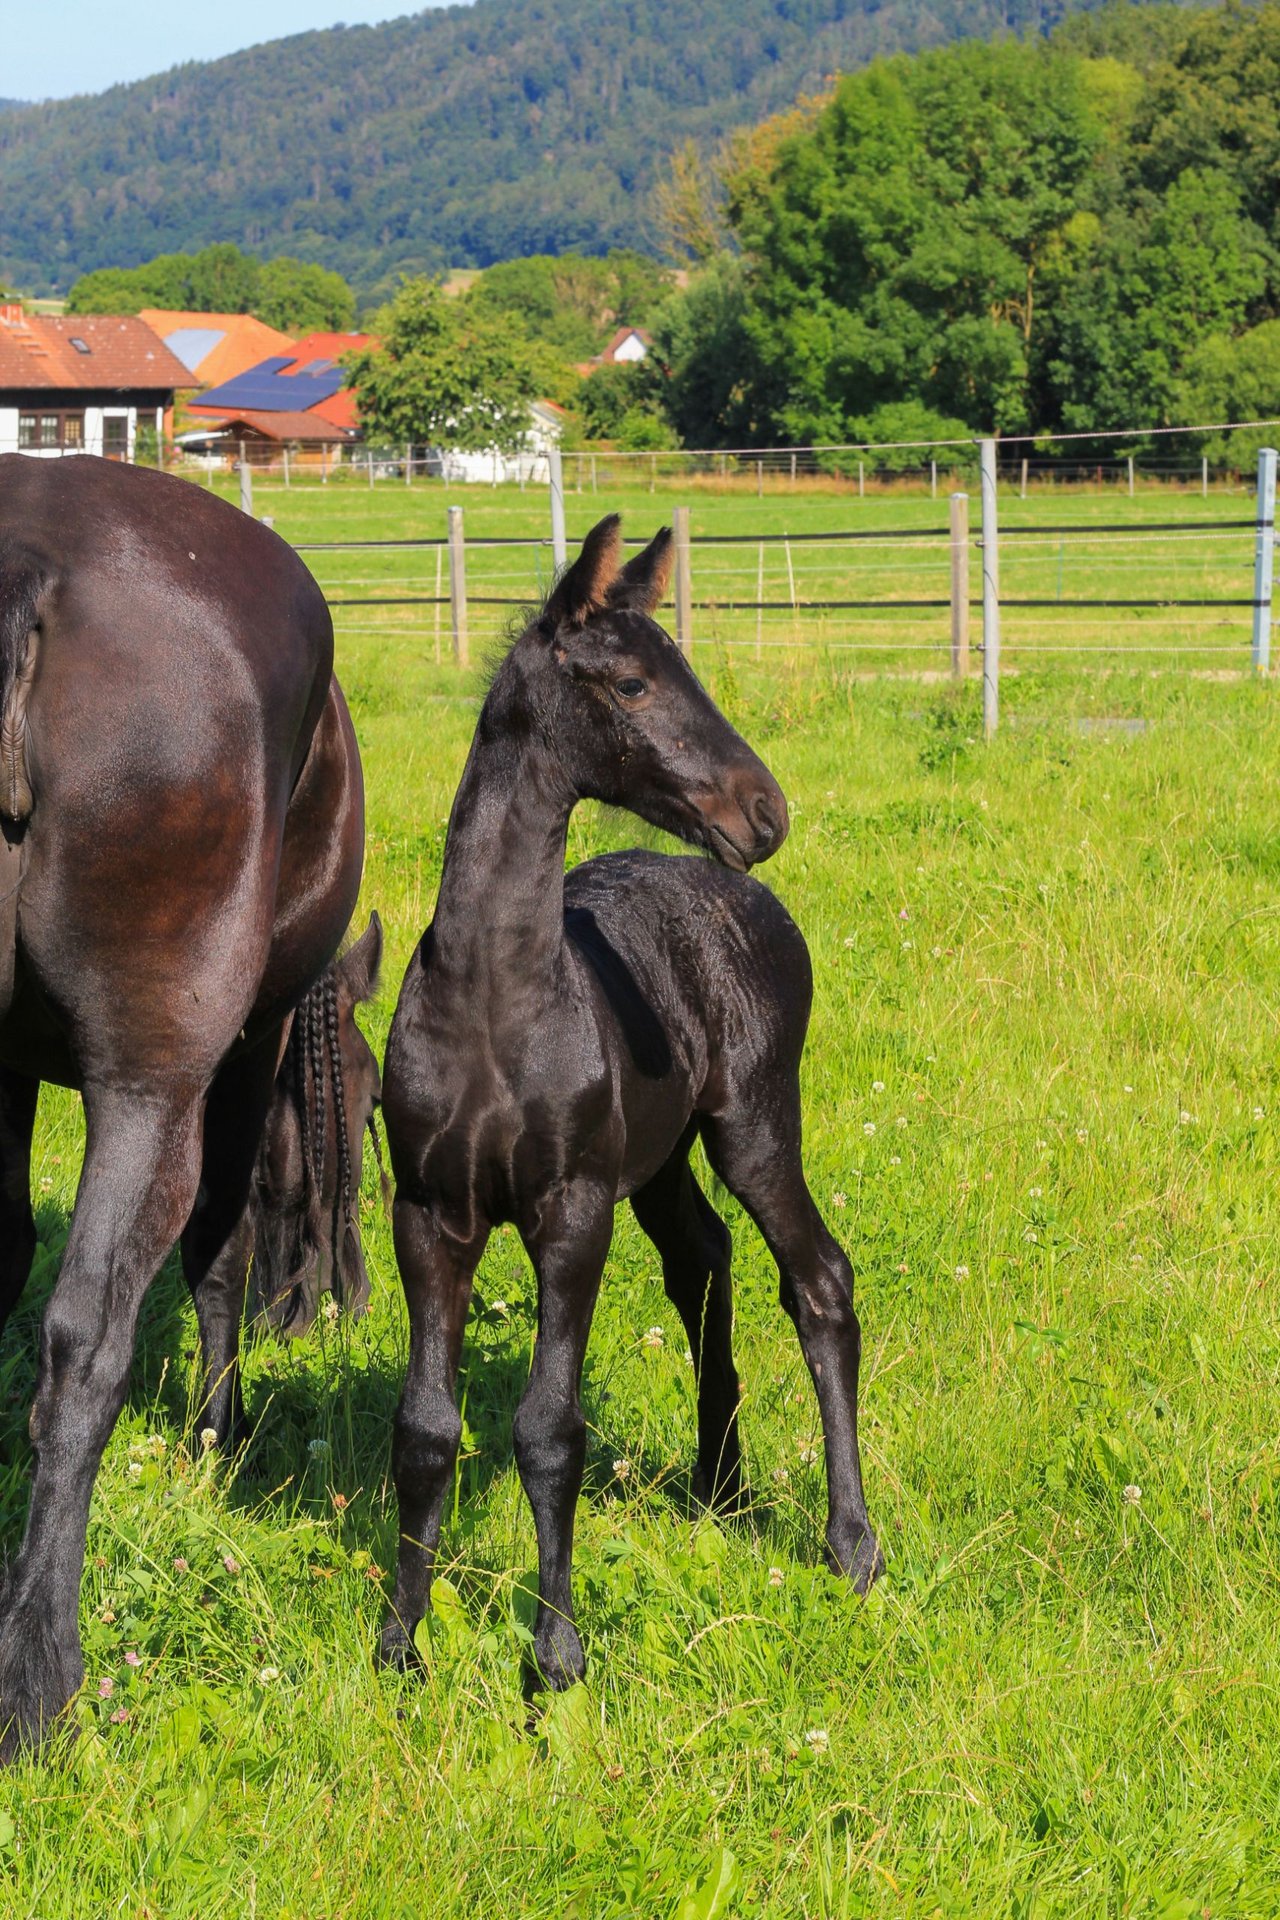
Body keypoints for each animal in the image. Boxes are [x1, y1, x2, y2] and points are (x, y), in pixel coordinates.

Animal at [0, 452, 363, 1757]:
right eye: (366, 1111)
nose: (322, 1306)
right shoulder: (245, 1051)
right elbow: (223, 1241)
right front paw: (219, 1437)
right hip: (153, 1089)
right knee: (90, 1340)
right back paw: (38, 1673)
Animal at [379, 515, 881, 1690]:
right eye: (632, 683)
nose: (763, 811)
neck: (494, 999)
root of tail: (742, 895)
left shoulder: (569, 1212)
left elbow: (546, 1428)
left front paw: (556, 1658)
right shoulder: (428, 1213)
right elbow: (425, 1428)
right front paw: (400, 1646)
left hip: (751, 1128)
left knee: (819, 1283)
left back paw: (850, 1545)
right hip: (657, 1162)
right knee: (702, 1262)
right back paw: (720, 1486)